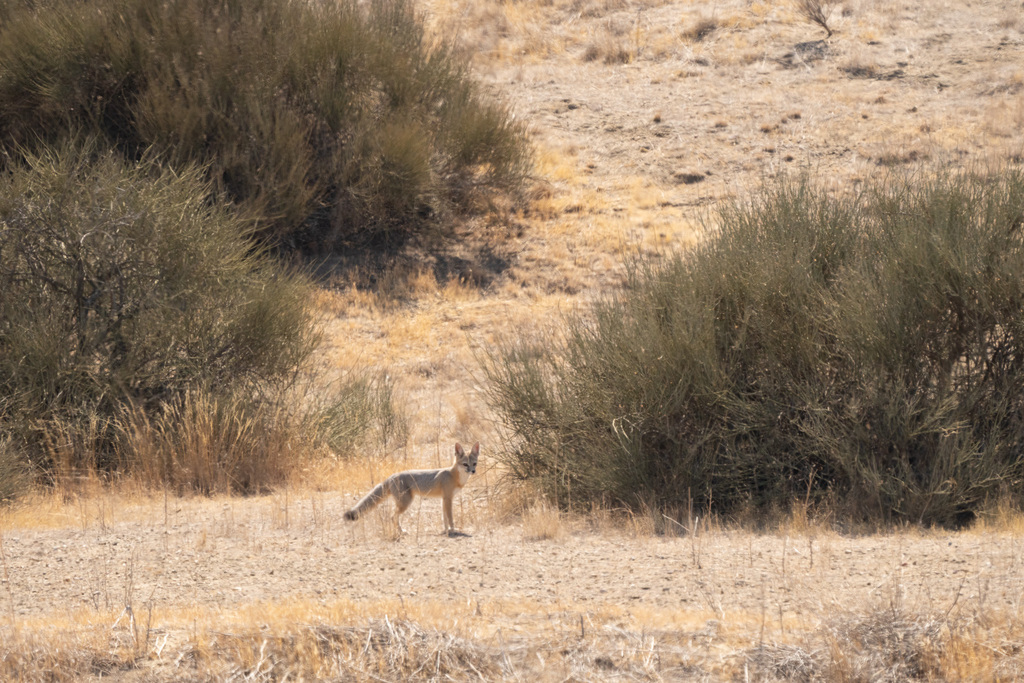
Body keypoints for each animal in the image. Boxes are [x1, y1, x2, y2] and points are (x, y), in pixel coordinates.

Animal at [344, 442, 479, 535]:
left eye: (474, 463)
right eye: (465, 464)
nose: (473, 471)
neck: (454, 476)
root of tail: (391, 476)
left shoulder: (444, 499)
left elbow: (444, 518)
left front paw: (445, 531)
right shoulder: (448, 499)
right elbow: (450, 518)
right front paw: (453, 530)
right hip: (406, 502)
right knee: (392, 517)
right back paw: (401, 531)